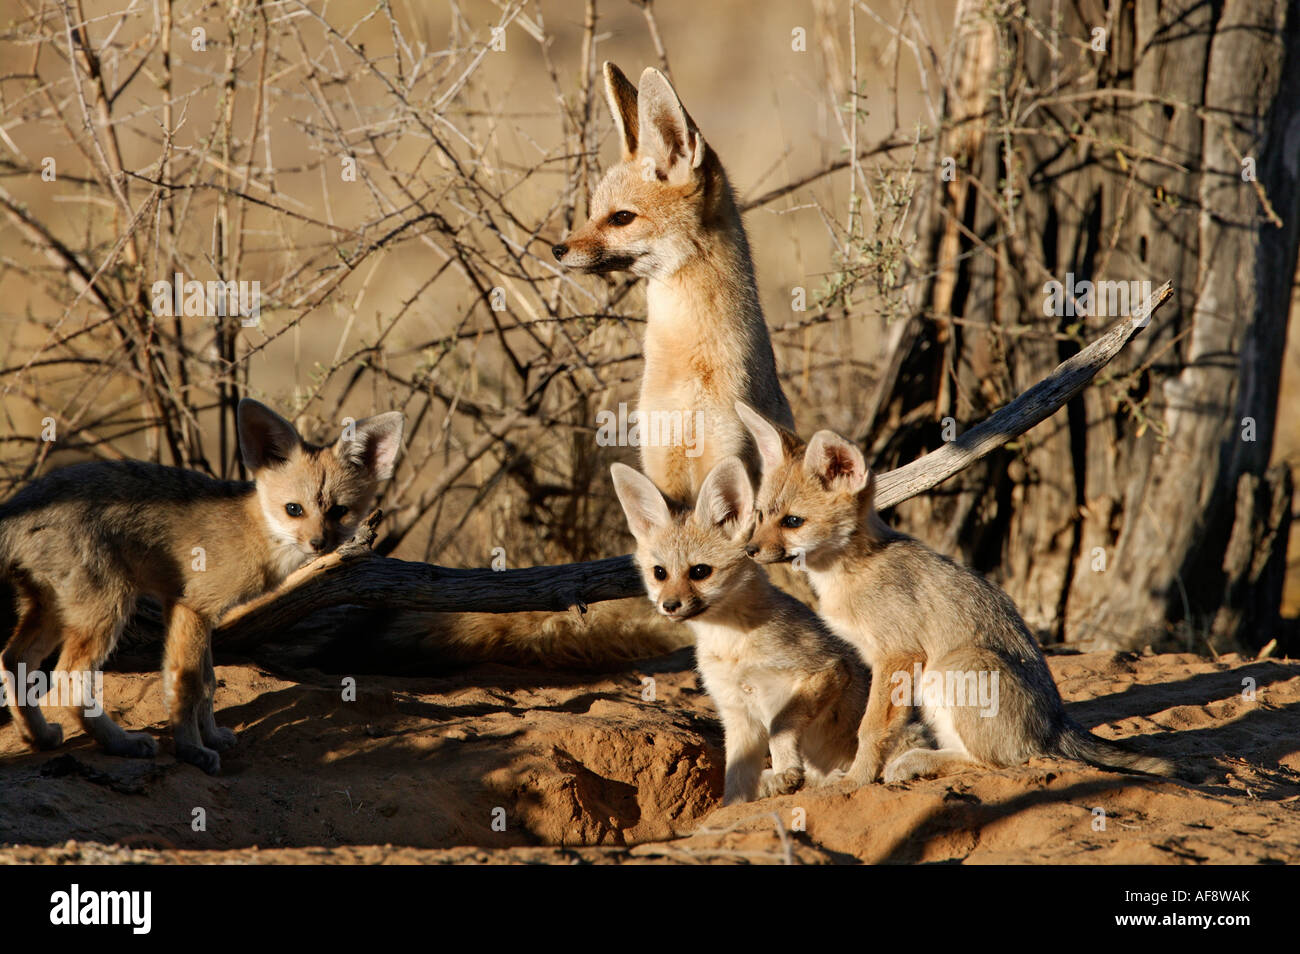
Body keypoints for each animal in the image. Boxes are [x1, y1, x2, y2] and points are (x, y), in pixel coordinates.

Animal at [0, 399, 403, 774]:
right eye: (294, 509)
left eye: (339, 511)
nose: (319, 543)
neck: (255, 530)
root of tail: (19, 503)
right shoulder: (191, 607)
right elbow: (188, 685)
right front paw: (191, 749)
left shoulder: (196, 612)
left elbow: (208, 684)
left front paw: (210, 736)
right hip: (108, 609)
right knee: (67, 681)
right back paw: (122, 743)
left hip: (54, 611)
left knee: (13, 659)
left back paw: (40, 736)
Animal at [555, 62, 794, 505]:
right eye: (593, 212)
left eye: (621, 218)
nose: (557, 250)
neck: (688, 365)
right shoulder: (658, 462)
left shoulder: (727, 455)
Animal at [611, 457, 871, 804]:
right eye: (660, 573)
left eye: (700, 572)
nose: (669, 605)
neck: (732, 642)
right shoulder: (736, 714)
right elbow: (735, 781)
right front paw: (730, 810)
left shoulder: (826, 670)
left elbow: (781, 723)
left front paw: (787, 768)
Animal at [734, 400, 1179, 785]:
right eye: (761, 515)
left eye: (793, 521)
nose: (750, 550)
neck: (854, 570)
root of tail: (1055, 722)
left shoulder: (898, 655)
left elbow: (871, 728)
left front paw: (856, 780)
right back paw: (915, 762)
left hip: (953, 667)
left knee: (1002, 761)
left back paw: (919, 764)